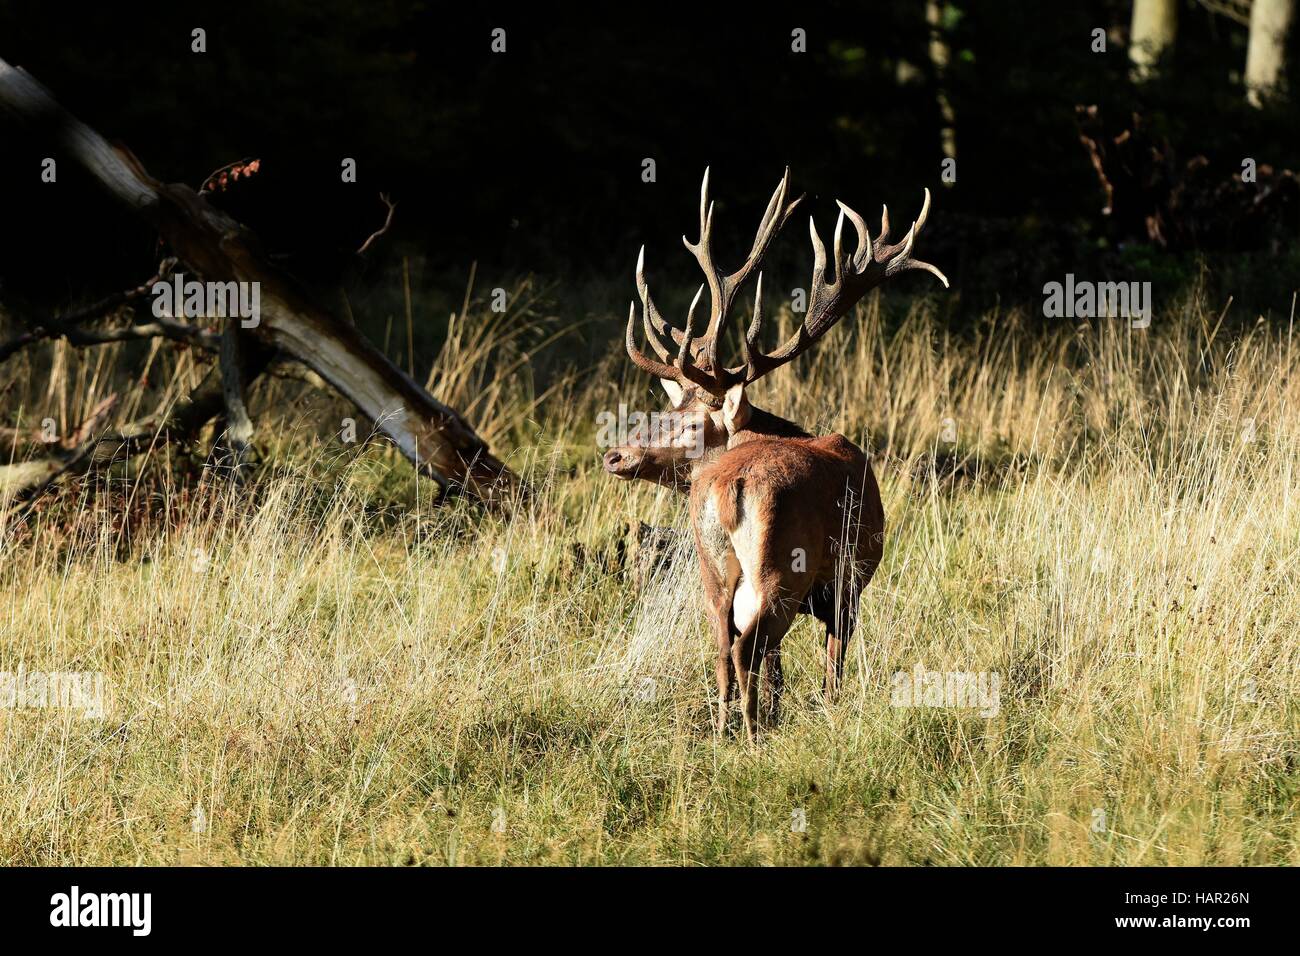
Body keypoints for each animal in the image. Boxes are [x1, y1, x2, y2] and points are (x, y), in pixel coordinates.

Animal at [603, 168, 947, 740]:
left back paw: (726, 728)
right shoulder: (848, 582)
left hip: (711, 572)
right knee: (748, 645)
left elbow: (777, 667)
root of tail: (726, 488)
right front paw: (828, 710)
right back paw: (749, 732)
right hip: (782, 569)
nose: (615, 455)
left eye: (689, 421)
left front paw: (779, 711)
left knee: (724, 647)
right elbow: (831, 661)